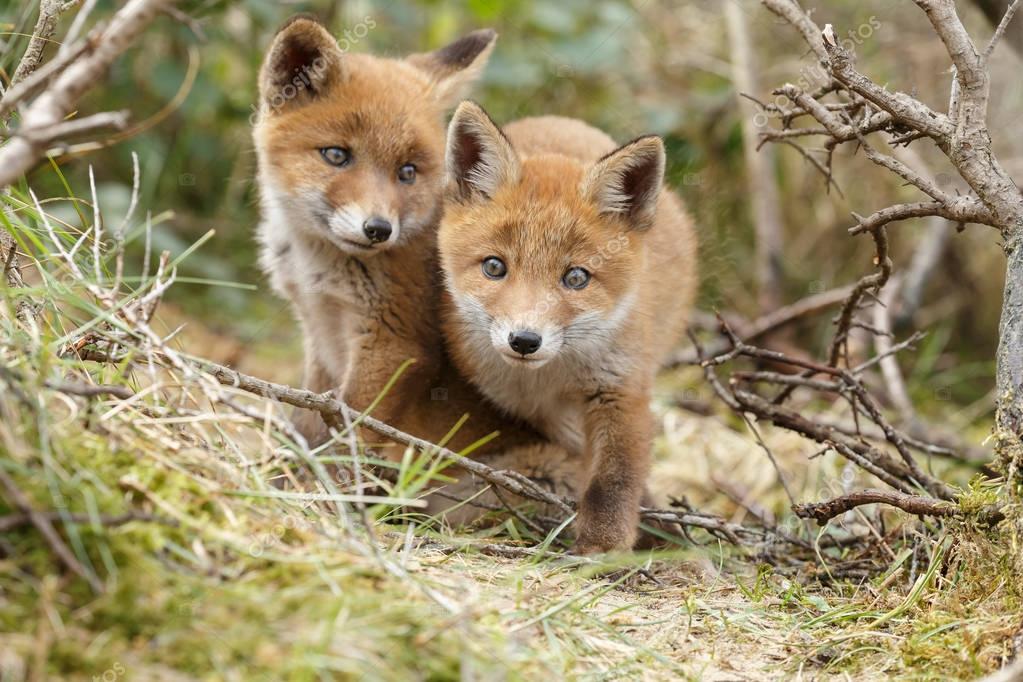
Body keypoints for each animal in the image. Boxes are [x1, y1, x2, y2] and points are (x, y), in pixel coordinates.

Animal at [252, 17, 580, 515]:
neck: (320, 268)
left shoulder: (394, 344)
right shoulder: (319, 335)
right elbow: (309, 420)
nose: (378, 229)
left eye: (407, 172)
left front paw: (331, 495)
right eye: (336, 155)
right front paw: (289, 475)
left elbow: (351, 429)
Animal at [437, 101, 698, 552]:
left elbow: (613, 480)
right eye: (494, 267)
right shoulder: (530, 410)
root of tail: (561, 122)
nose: (525, 340)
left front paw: (604, 547)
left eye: (576, 278)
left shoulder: (620, 387)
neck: (553, 378)